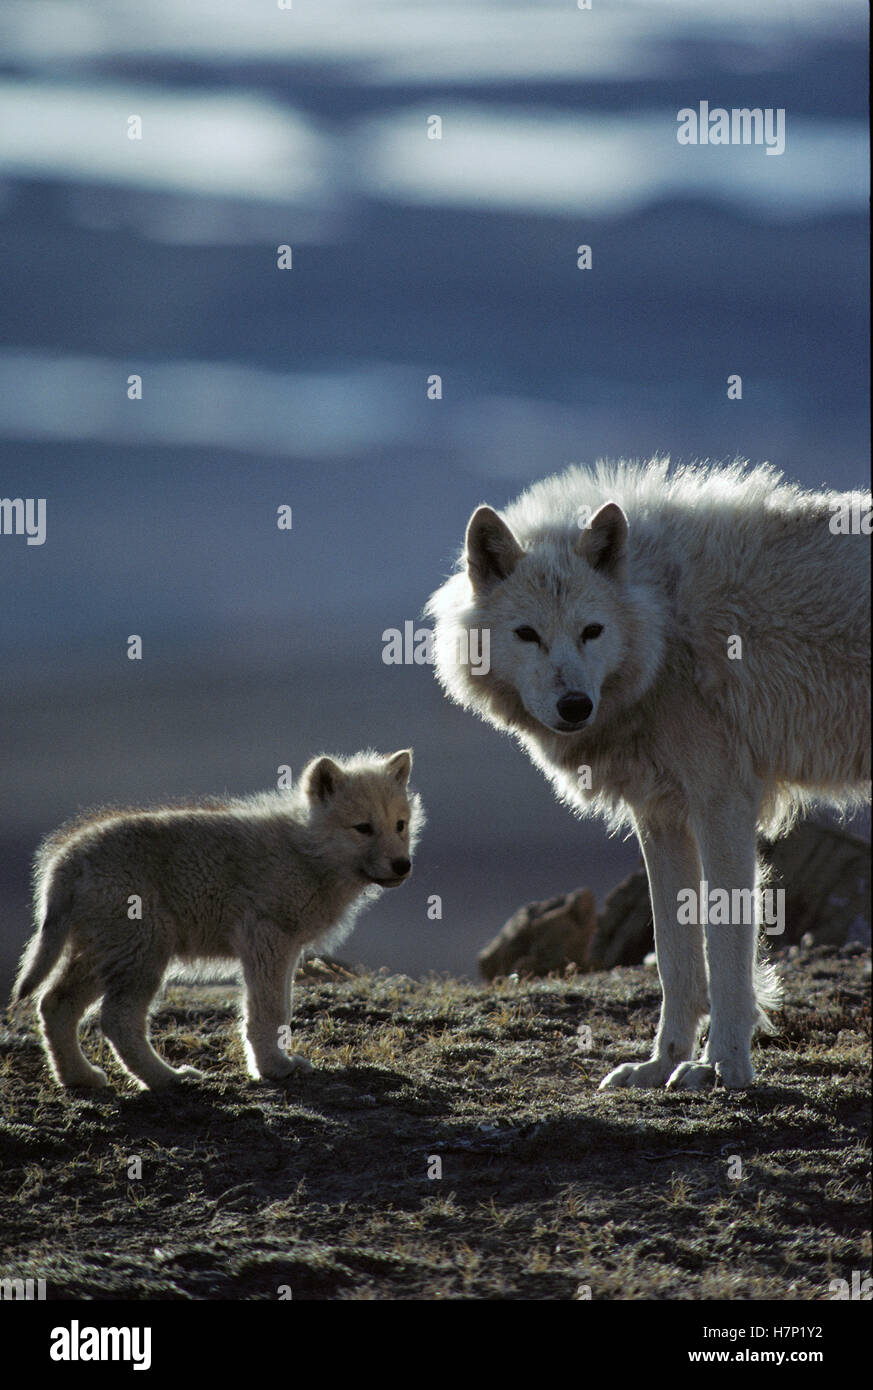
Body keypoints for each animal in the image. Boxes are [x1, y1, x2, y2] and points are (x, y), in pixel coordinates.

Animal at [12, 749, 422, 1090]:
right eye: (363, 828)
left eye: (400, 825)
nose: (403, 866)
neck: (306, 853)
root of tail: (65, 860)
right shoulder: (266, 939)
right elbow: (268, 1012)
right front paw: (274, 1069)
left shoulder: (286, 951)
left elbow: (278, 1009)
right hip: (144, 954)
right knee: (117, 1021)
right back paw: (167, 1079)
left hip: (108, 954)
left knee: (54, 1005)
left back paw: (78, 1078)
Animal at [427, 459, 870, 1089]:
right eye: (527, 634)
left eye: (591, 630)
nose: (575, 706)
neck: (665, 625)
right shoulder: (659, 818)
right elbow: (674, 955)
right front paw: (661, 1062)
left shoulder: (722, 806)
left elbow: (725, 951)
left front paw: (722, 1065)